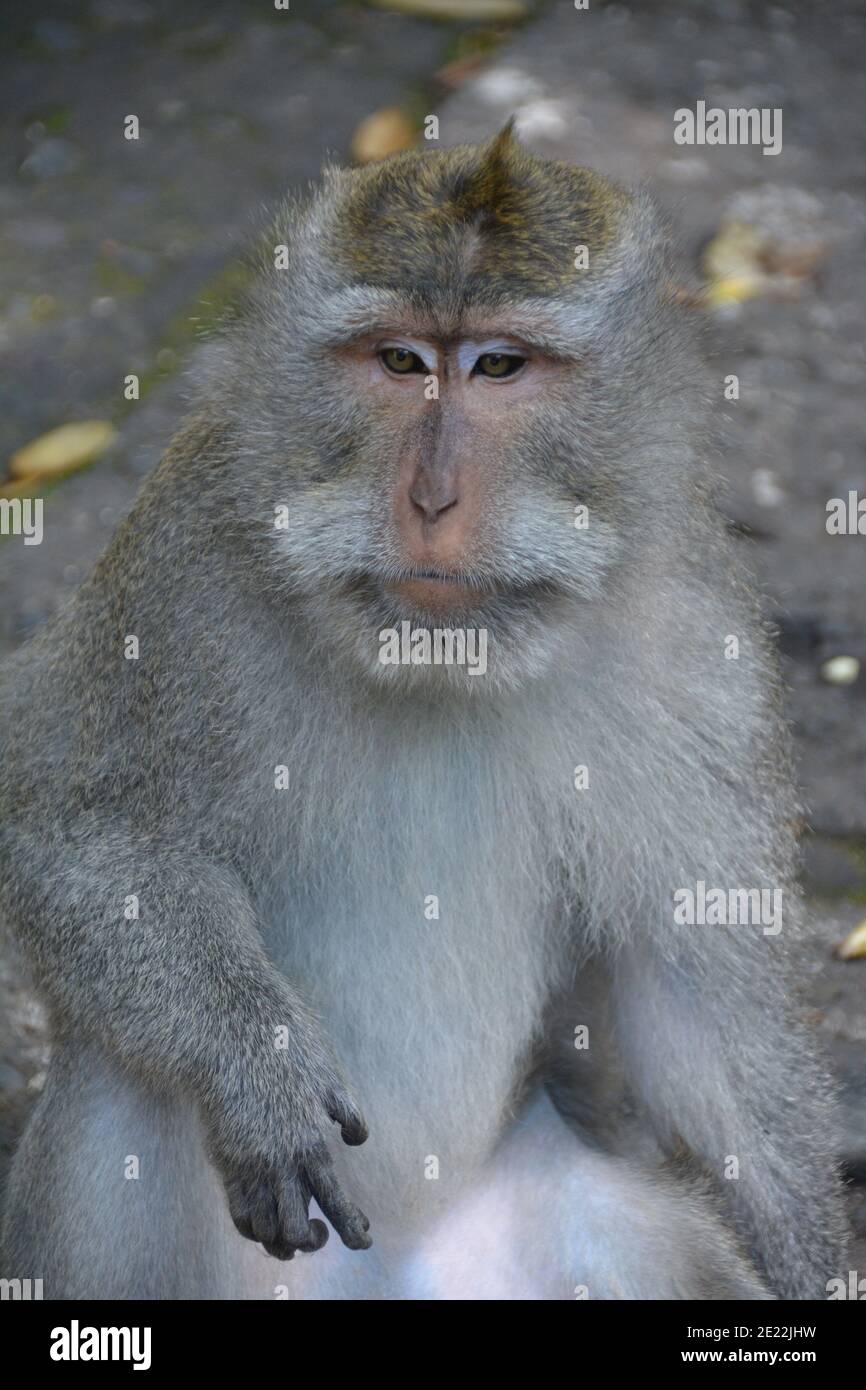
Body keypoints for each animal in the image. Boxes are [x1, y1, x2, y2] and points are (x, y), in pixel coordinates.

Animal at [0, 125, 846, 1300]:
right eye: (399, 361)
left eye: (499, 365)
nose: (431, 500)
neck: (443, 656)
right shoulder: (181, 562)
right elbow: (62, 825)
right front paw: (254, 1066)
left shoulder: (699, 641)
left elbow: (704, 1016)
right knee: (123, 1087)